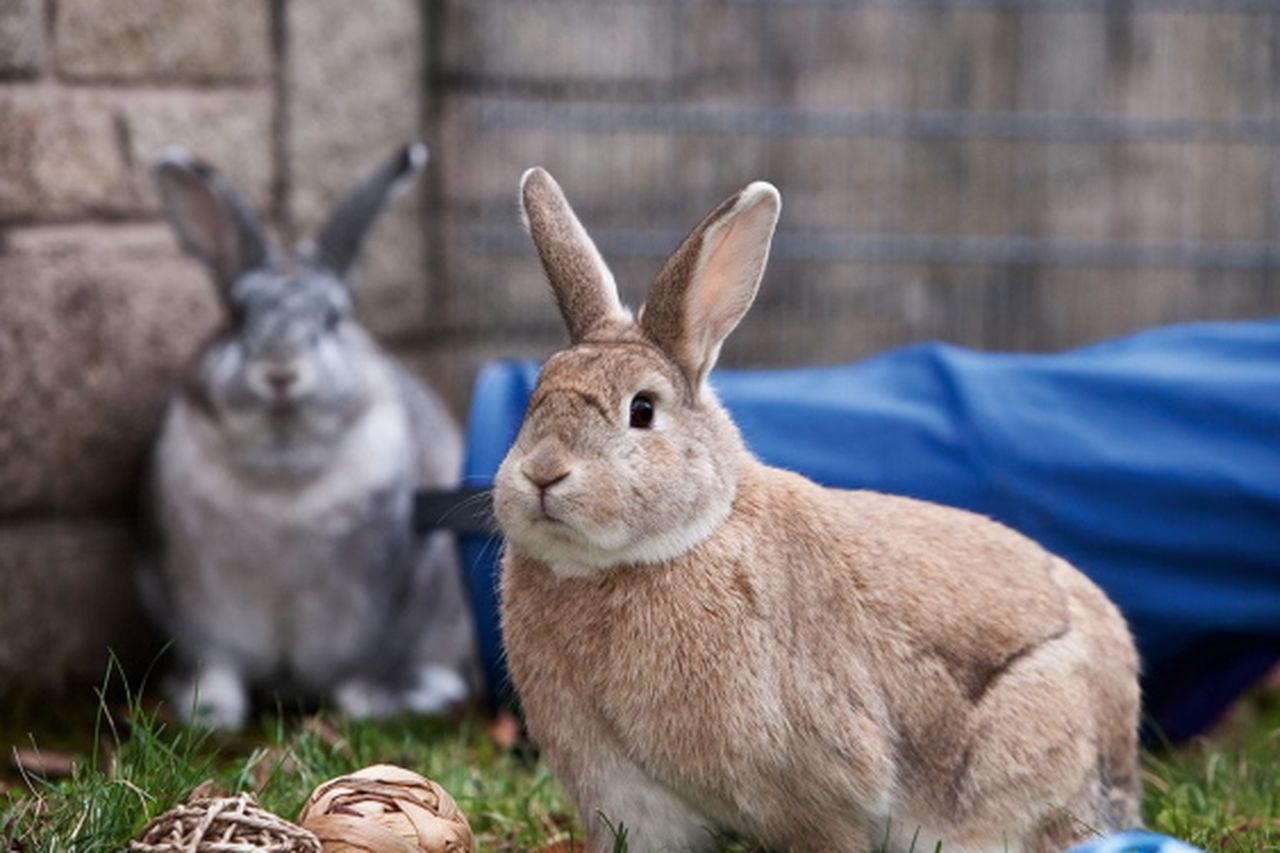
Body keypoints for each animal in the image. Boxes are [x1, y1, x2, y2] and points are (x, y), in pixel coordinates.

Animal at [139, 143, 476, 730]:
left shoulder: (385, 603)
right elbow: (216, 661)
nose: (280, 373)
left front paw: (369, 699)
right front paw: (211, 712)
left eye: (334, 319)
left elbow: (370, 664)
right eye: (237, 316)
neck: (283, 468)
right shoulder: (199, 611)